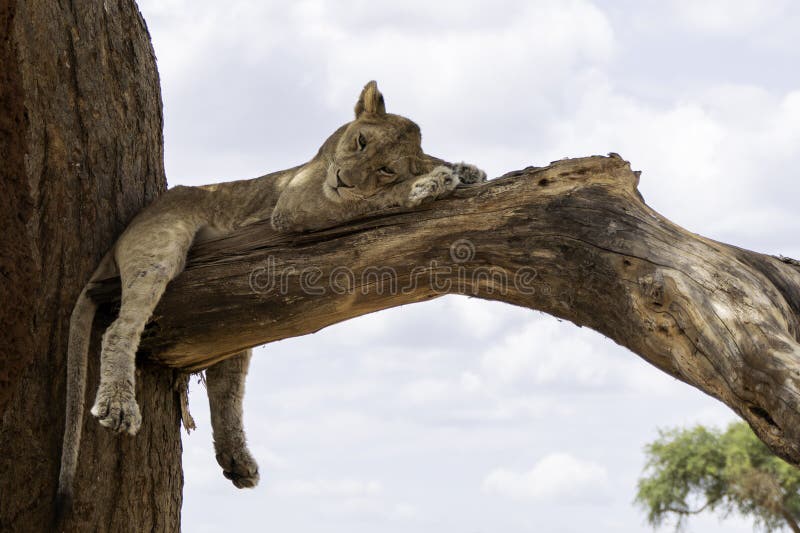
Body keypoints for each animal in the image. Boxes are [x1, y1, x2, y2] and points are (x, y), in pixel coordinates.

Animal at [56, 81, 486, 512]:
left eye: (385, 168)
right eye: (361, 141)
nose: (344, 179)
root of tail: (127, 228)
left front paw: (462, 171)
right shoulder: (296, 205)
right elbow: (366, 203)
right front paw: (430, 183)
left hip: (229, 320)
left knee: (226, 385)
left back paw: (237, 460)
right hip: (161, 246)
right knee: (119, 330)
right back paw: (119, 405)